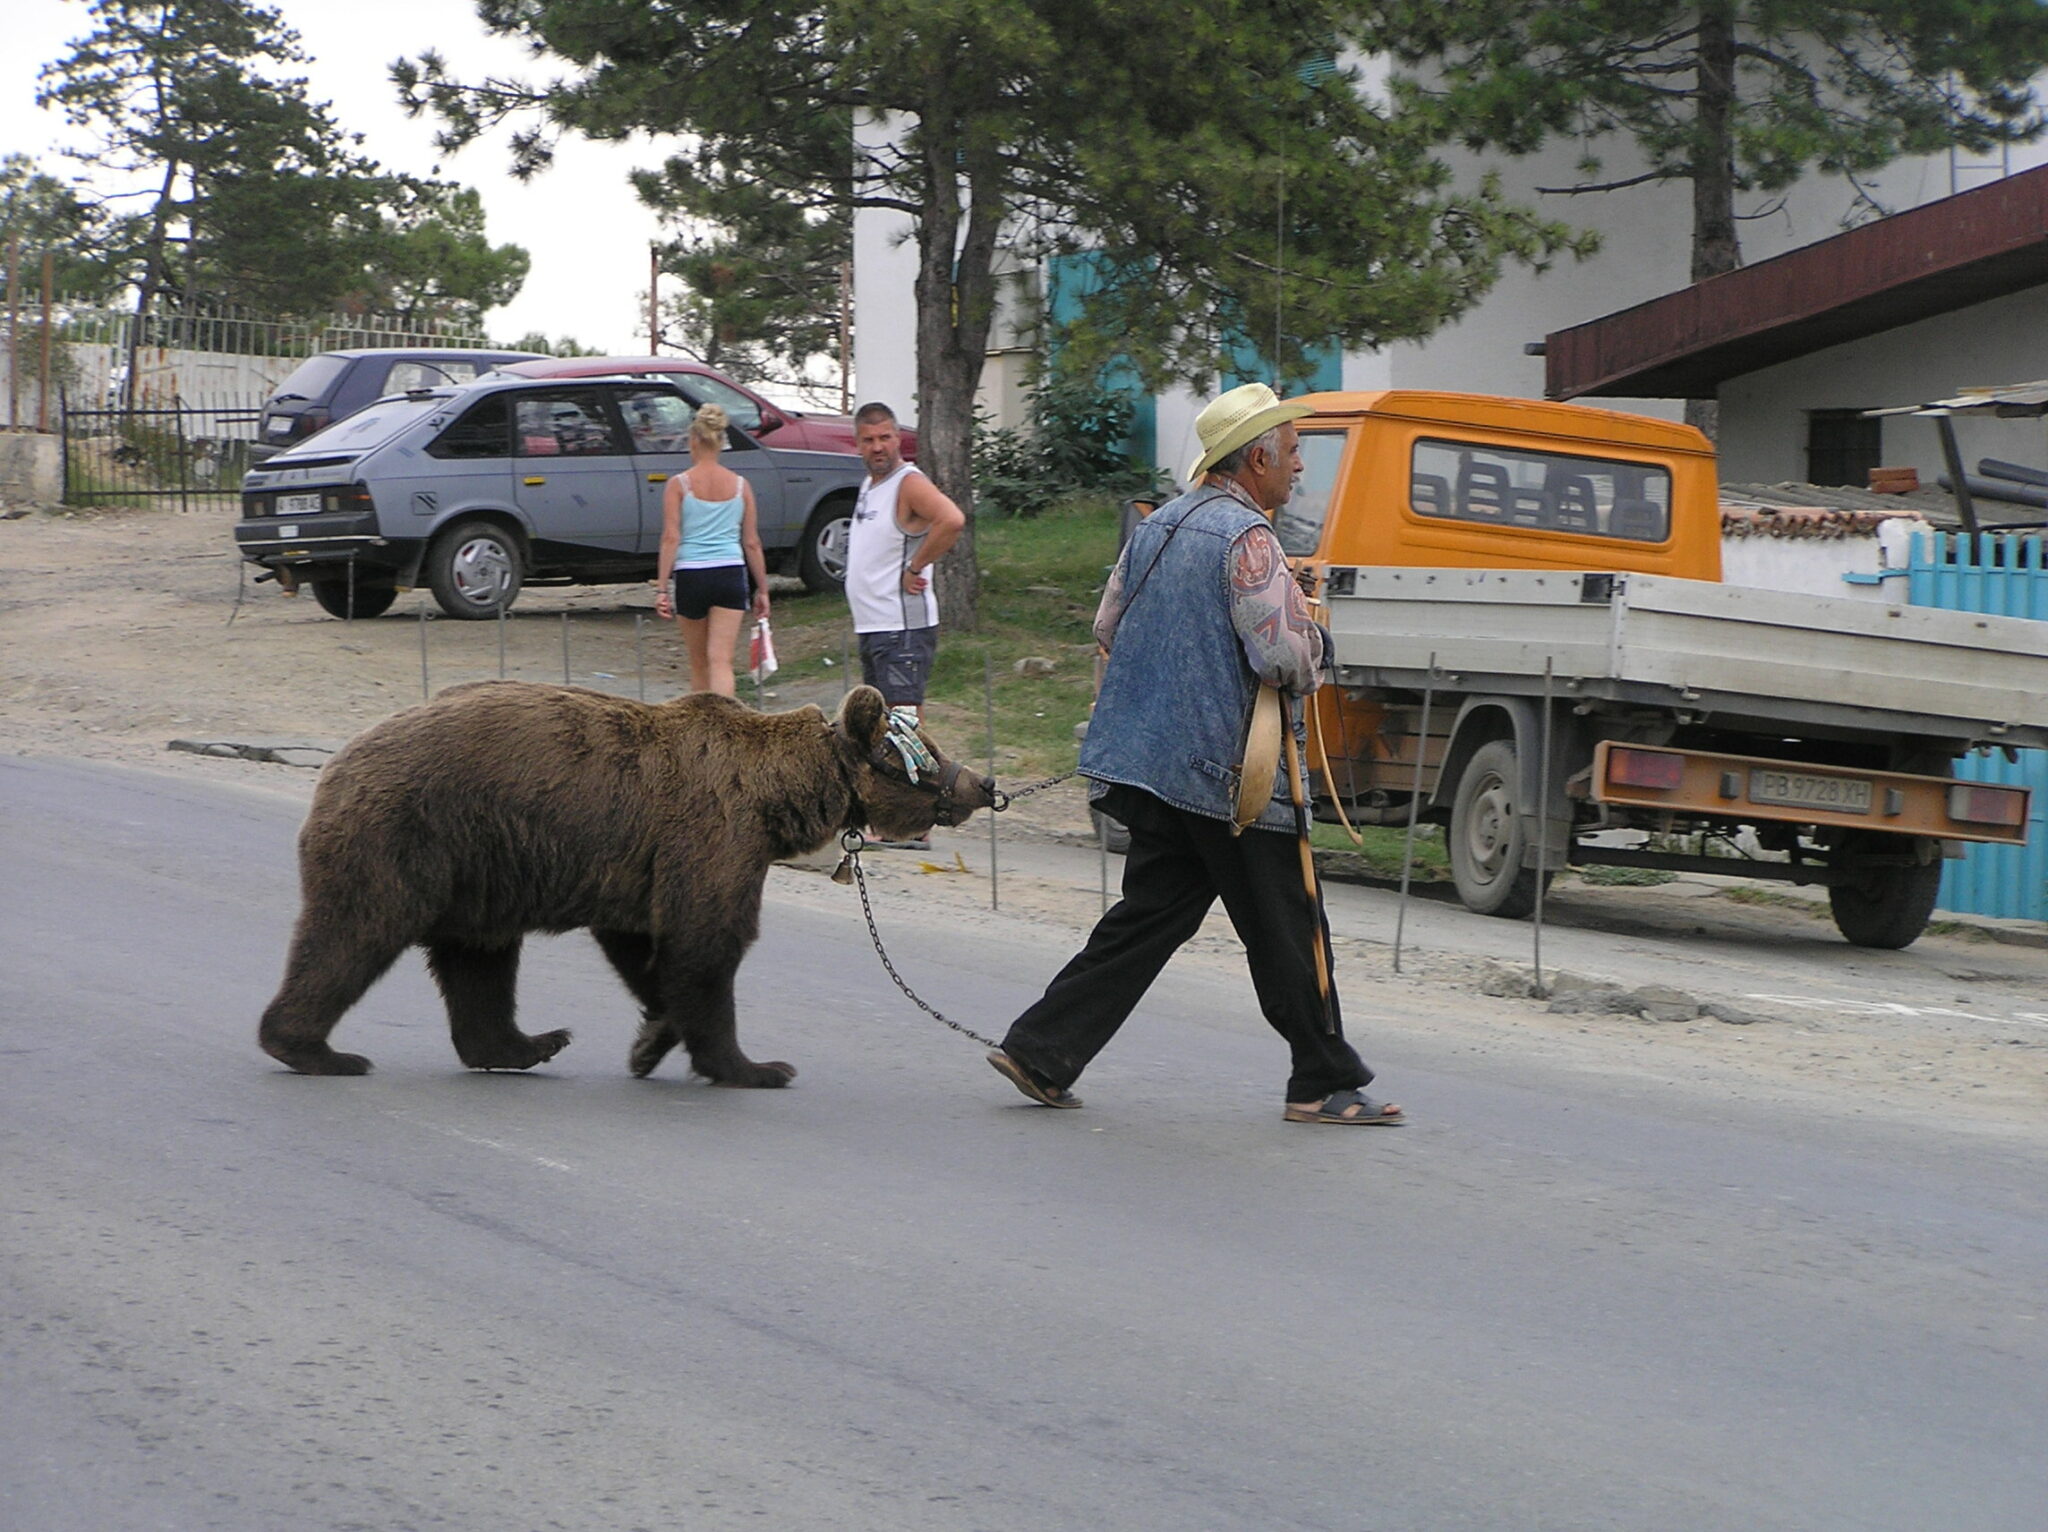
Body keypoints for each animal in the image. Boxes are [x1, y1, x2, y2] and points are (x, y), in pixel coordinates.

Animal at [257, 682, 994, 1083]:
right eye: (927, 754)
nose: (982, 784)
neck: (777, 797)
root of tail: (338, 760)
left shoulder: (643, 863)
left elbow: (645, 946)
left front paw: (650, 1041)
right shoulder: (713, 835)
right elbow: (706, 945)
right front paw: (754, 1065)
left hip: (479, 867)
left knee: (479, 959)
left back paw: (527, 1043)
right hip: (410, 834)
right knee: (354, 932)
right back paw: (313, 1047)